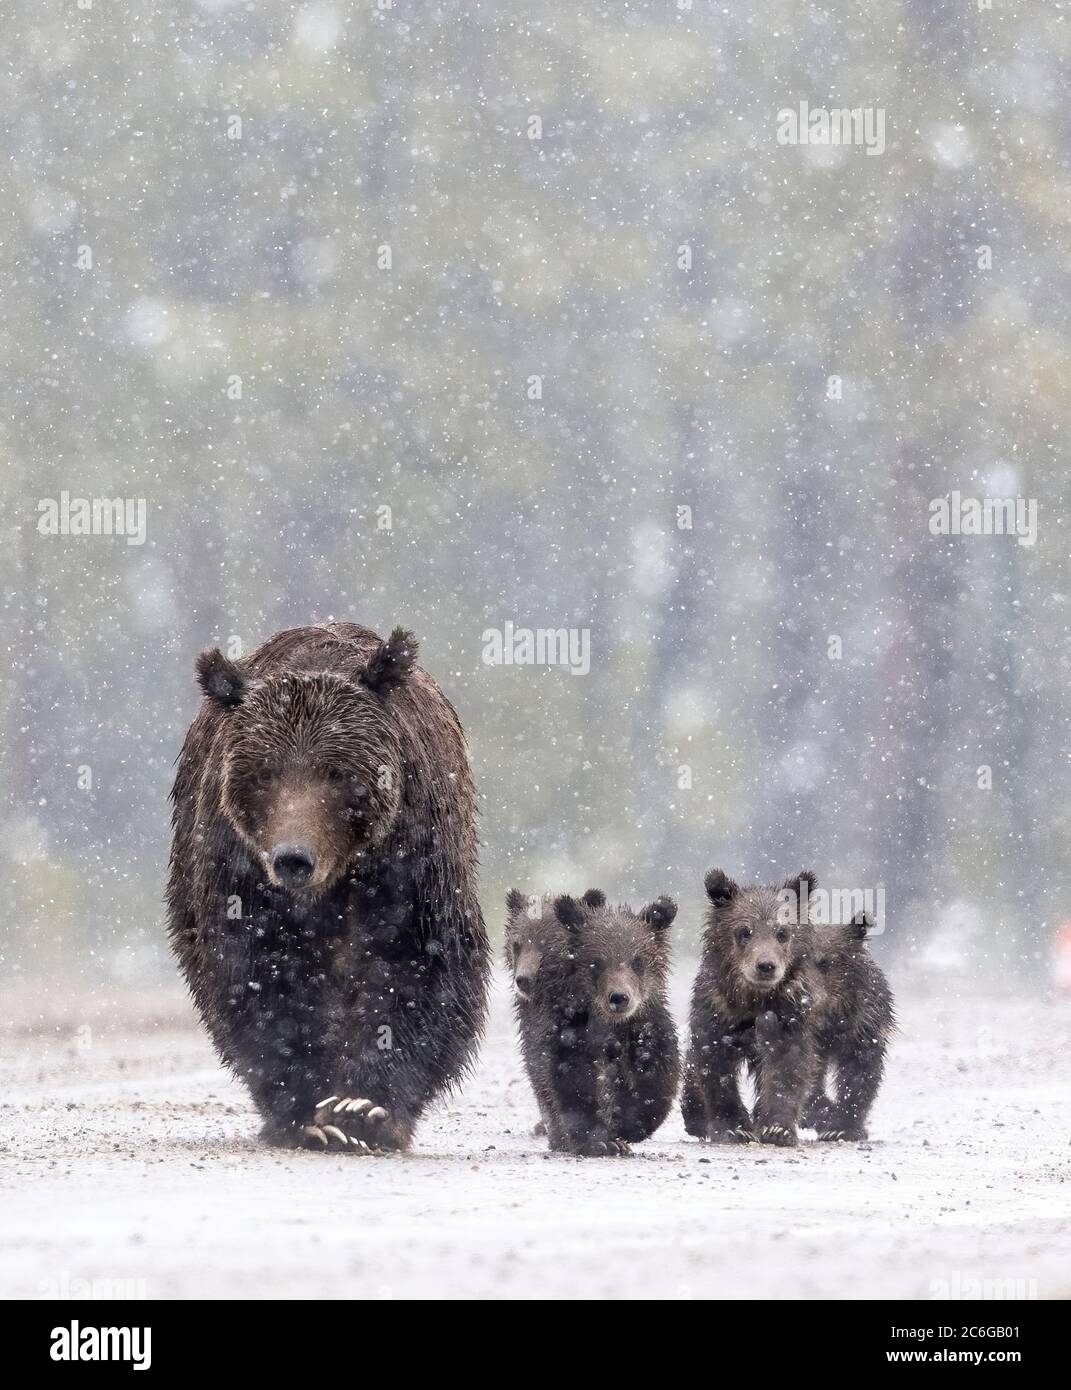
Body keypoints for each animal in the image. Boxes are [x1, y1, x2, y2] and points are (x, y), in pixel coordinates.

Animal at [166, 622, 490, 1153]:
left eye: (337, 772)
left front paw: (363, 1109)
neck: (337, 878)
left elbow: (413, 964)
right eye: (265, 773)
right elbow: (260, 974)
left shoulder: (409, 858)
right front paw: (307, 1113)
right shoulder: (239, 869)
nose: (294, 858)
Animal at [512, 890, 679, 1156]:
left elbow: (657, 1074)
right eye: (596, 962)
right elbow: (575, 1079)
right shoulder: (567, 1028)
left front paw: (627, 1126)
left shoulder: (646, 1025)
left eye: (638, 961)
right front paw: (599, 1141)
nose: (619, 997)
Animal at [681, 868, 819, 1147]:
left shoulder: (788, 1012)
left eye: (782, 933)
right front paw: (733, 1128)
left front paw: (778, 1129)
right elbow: (715, 1067)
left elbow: (787, 1066)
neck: (753, 1000)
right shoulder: (717, 1011)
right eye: (744, 931)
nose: (765, 965)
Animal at [801, 912, 895, 1141]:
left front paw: (844, 1126)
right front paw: (824, 1114)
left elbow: (859, 1074)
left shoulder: (863, 1027)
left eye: (824, 962)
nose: (804, 997)